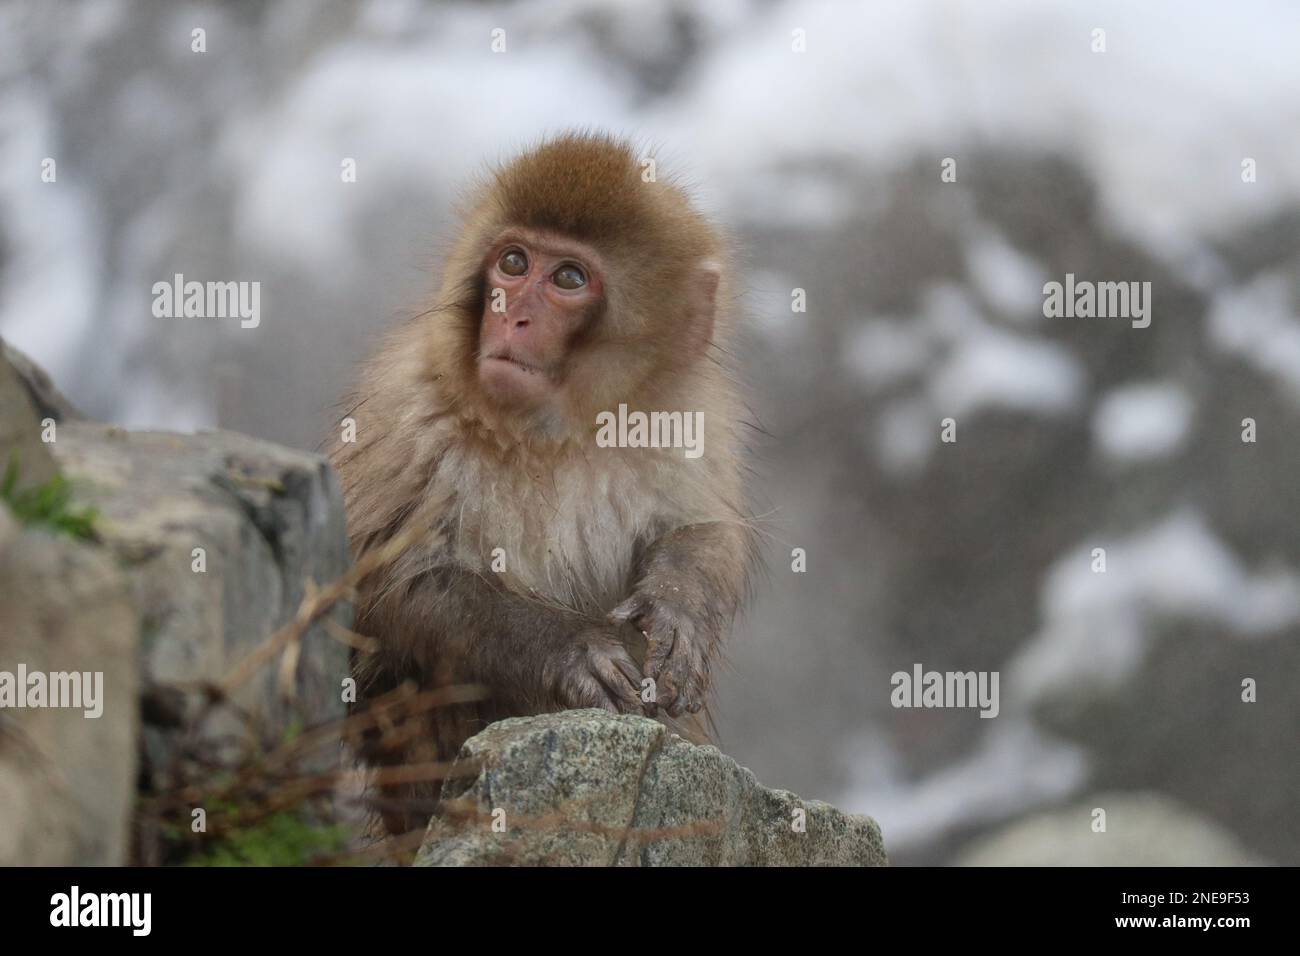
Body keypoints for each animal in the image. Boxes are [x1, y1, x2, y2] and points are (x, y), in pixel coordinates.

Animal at [331, 133, 755, 837]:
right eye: (512, 262)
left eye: (567, 279)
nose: (510, 315)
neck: (556, 434)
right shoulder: (405, 412)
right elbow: (385, 589)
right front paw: (571, 649)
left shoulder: (686, 415)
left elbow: (703, 529)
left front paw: (679, 604)